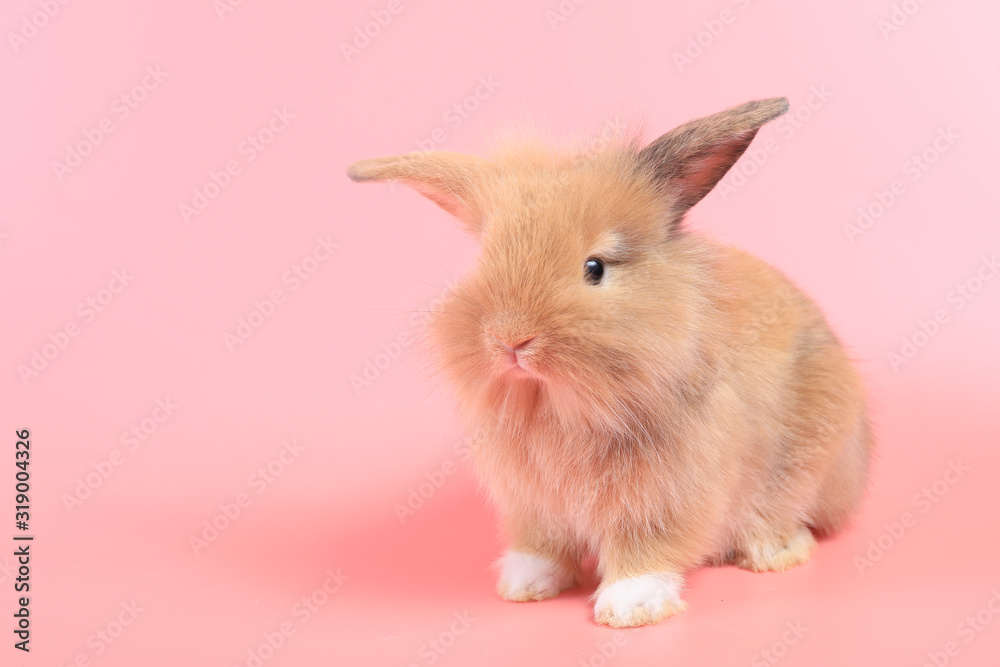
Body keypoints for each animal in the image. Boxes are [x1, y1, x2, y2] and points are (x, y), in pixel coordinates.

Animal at [347, 97, 873, 628]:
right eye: (484, 260)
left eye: (595, 268)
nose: (510, 338)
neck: (559, 407)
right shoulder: (531, 502)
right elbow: (542, 544)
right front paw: (524, 585)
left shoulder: (668, 494)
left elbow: (648, 546)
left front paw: (629, 606)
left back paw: (773, 550)